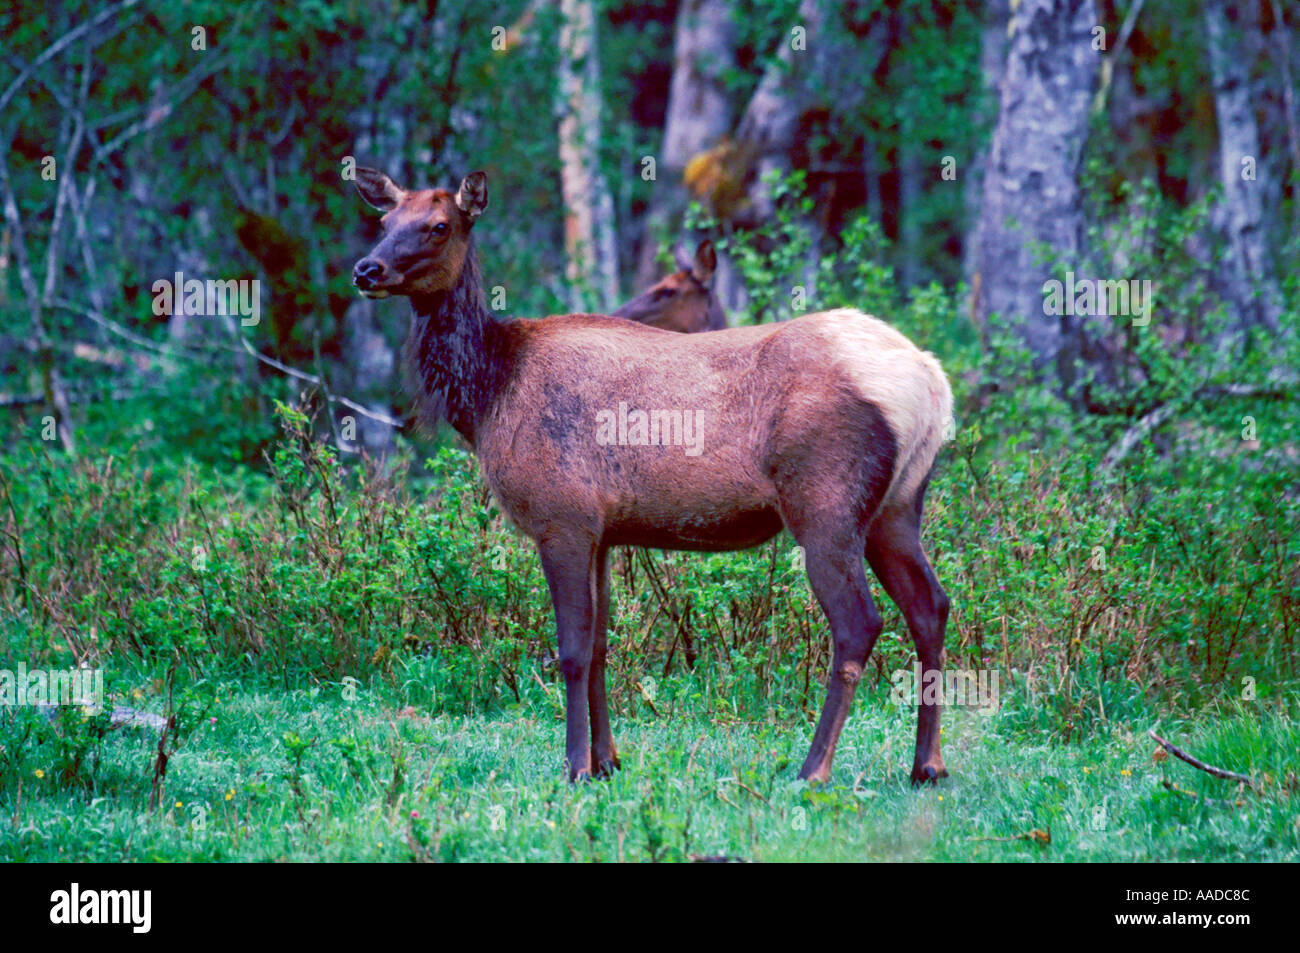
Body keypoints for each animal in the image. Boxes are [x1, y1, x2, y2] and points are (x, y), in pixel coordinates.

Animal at [351, 167, 954, 785]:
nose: (366, 269)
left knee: (859, 622)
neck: (489, 395)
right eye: (385, 220)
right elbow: (599, 647)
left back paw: (814, 768)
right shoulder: (600, 532)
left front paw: (574, 766)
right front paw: (607, 761)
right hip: (896, 506)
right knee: (931, 607)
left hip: (825, 502)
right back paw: (927, 765)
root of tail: (932, 381)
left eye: (439, 225)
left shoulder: (561, 517)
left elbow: (571, 649)